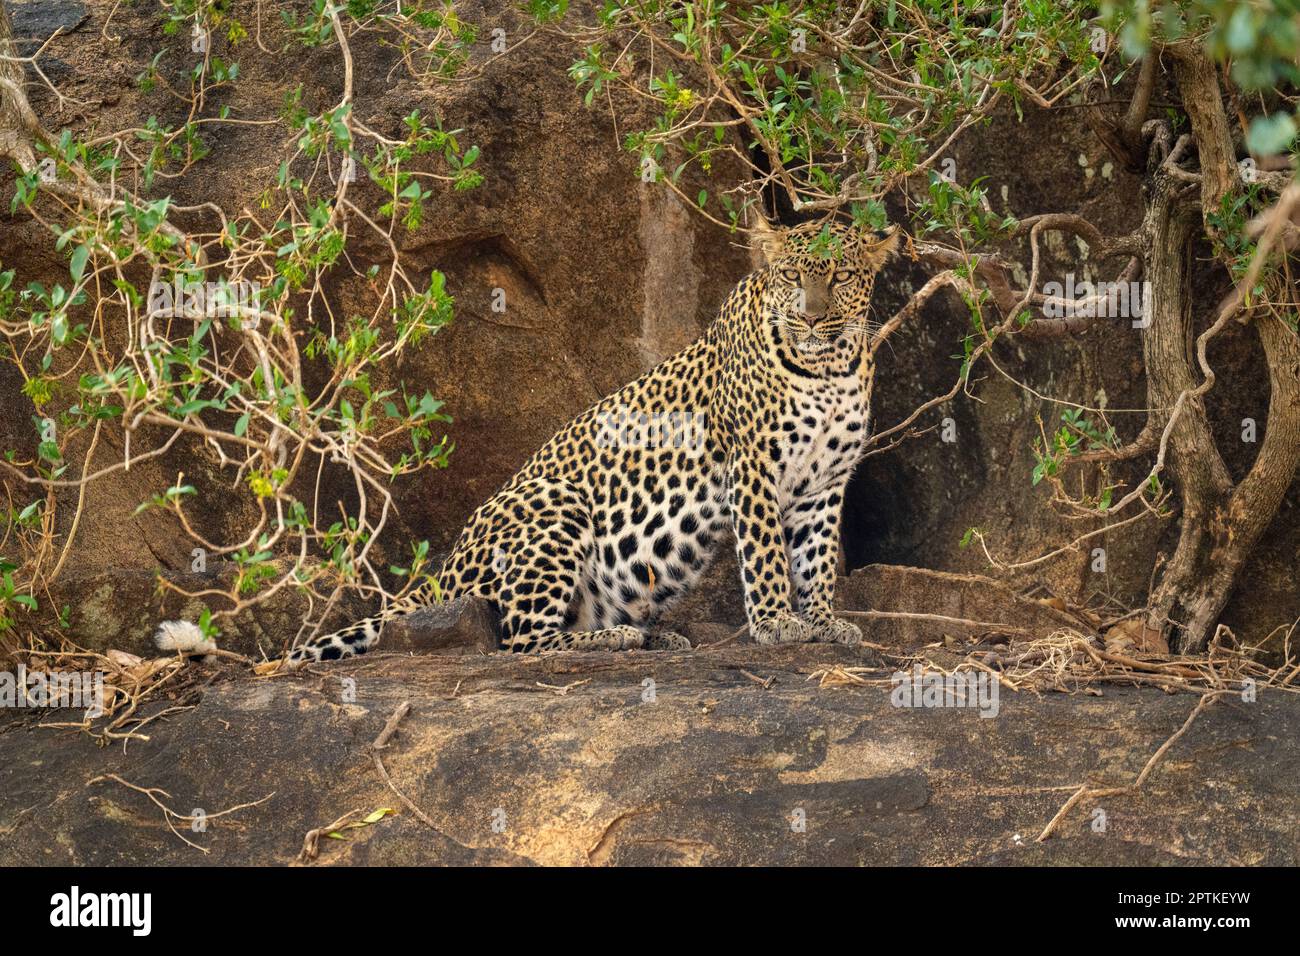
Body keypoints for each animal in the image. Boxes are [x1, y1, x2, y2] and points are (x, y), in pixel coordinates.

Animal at [161, 217, 901, 664]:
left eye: (839, 276)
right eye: (792, 276)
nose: (812, 317)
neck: (828, 365)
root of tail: (438, 579)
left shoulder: (824, 484)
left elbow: (816, 557)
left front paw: (827, 621)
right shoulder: (753, 468)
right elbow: (769, 556)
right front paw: (779, 623)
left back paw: (638, 635)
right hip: (556, 503)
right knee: (519, 639)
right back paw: (617, 642)